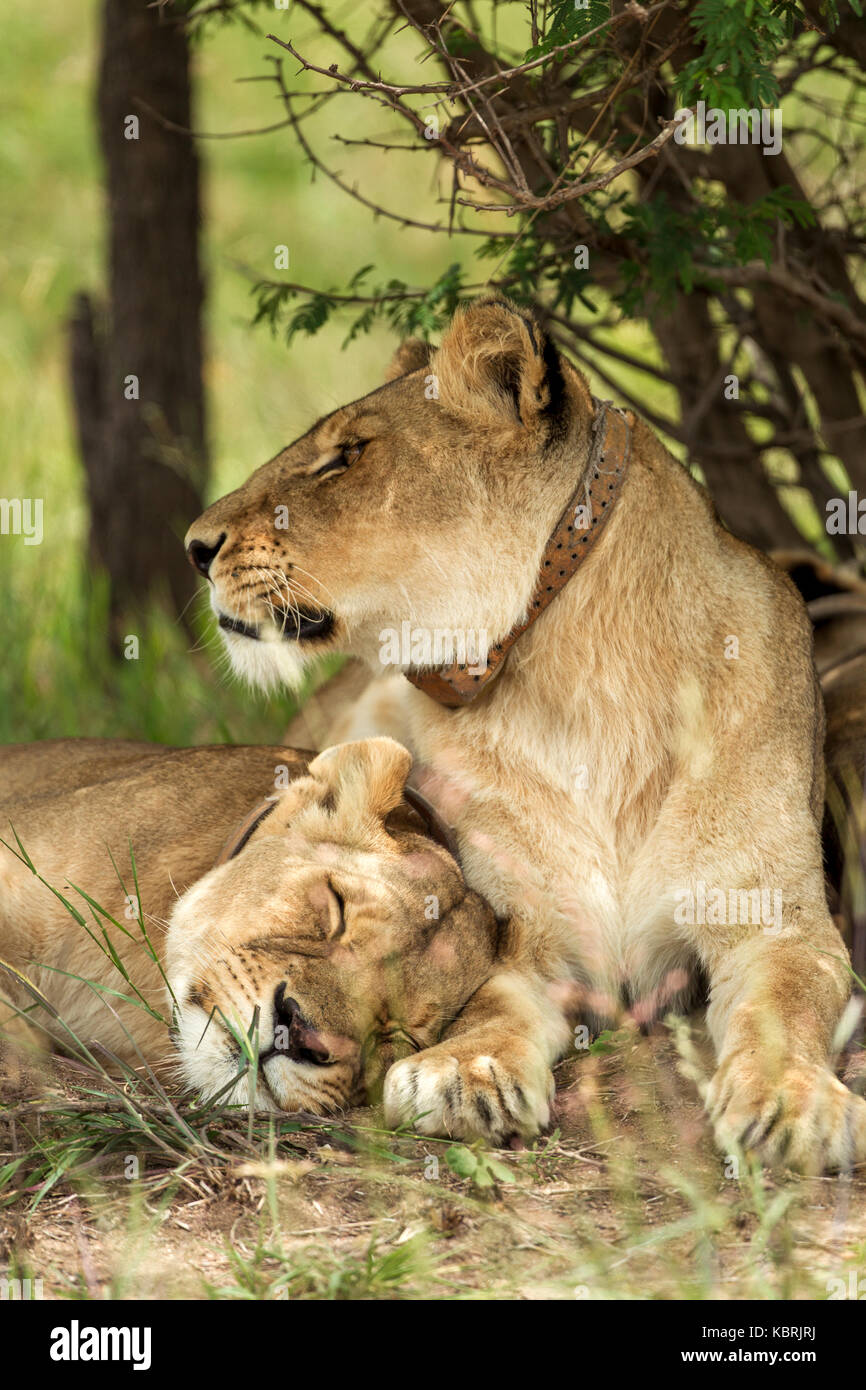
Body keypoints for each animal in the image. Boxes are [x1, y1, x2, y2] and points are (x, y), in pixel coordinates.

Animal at [185, 297, 865, 1171]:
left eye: (347, 456)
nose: (195, 548)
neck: (591, 685)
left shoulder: (776, 922)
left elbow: (785, 1008)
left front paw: (792, 1102)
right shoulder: (522, 934)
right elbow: (495, 1007)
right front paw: (465, 1075)